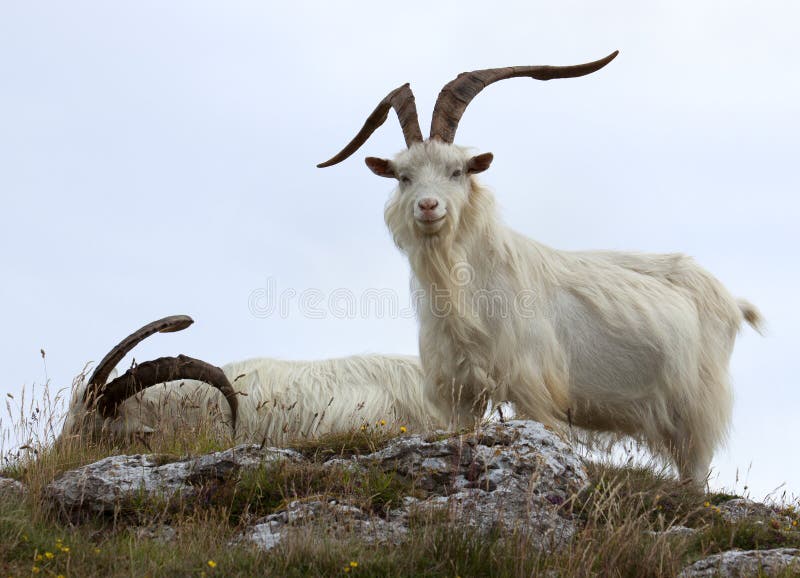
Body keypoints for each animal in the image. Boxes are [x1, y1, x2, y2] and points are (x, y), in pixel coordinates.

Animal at [317, 51, 762, 482]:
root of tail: (730, 301)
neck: (473, 289)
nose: (428, 206)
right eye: (403, 177)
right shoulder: (460, 392)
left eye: (457, 171)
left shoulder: (534, 387)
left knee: (696, 471)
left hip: (697, 403)